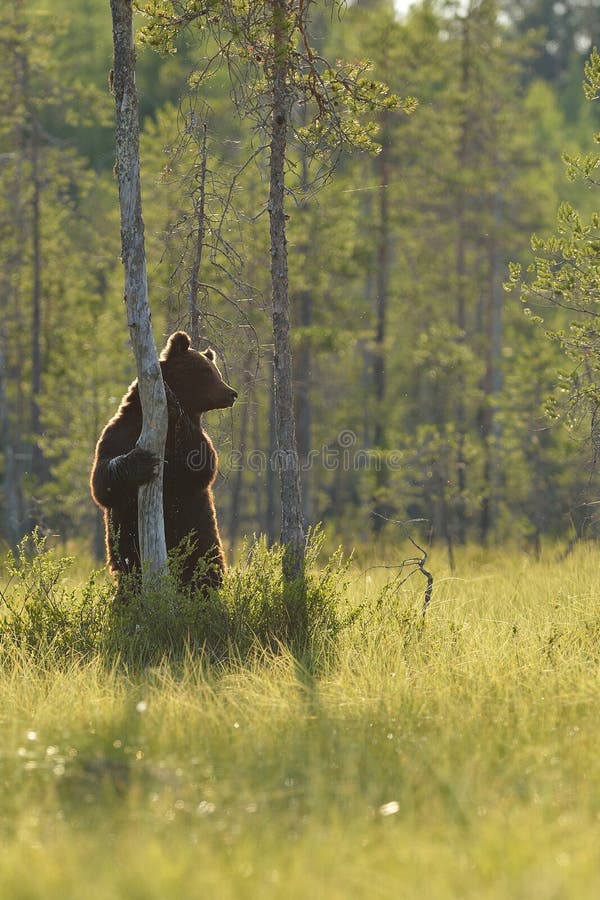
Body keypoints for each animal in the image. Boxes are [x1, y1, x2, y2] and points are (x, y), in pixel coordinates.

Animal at [91, 331, 237, 589]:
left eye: (215, 371)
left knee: (207, 573)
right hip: (130, 558)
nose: (231, 393)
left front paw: (172, 402)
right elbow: (102, 481)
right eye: (206, 371)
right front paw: (142, 461)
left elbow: (202, 463)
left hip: (204, 541)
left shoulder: (193, 441)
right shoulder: (118, 433)